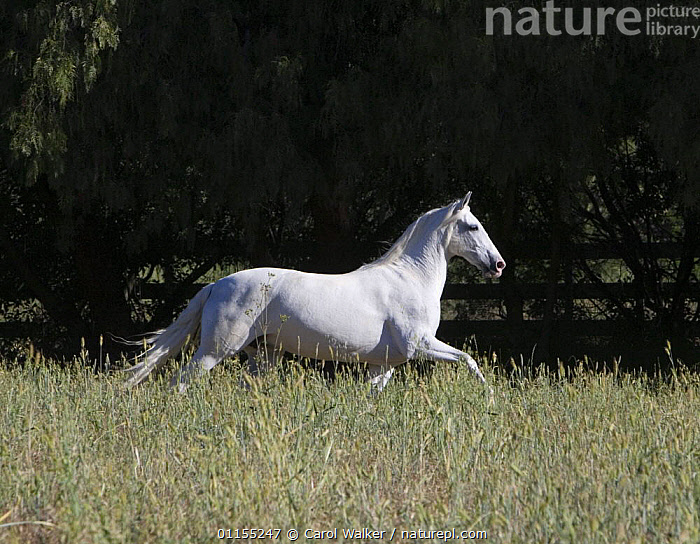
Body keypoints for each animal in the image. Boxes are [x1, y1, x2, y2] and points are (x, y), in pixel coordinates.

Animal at [124, 192, 505, 391]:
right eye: (473, 226)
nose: (498, 265)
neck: (410, 278)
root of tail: (217, 284)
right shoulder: (421, 345)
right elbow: (469, 360)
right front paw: (488, 393)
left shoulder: (383, 366)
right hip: (214, 351)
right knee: (180, 383)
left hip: (263, 357)